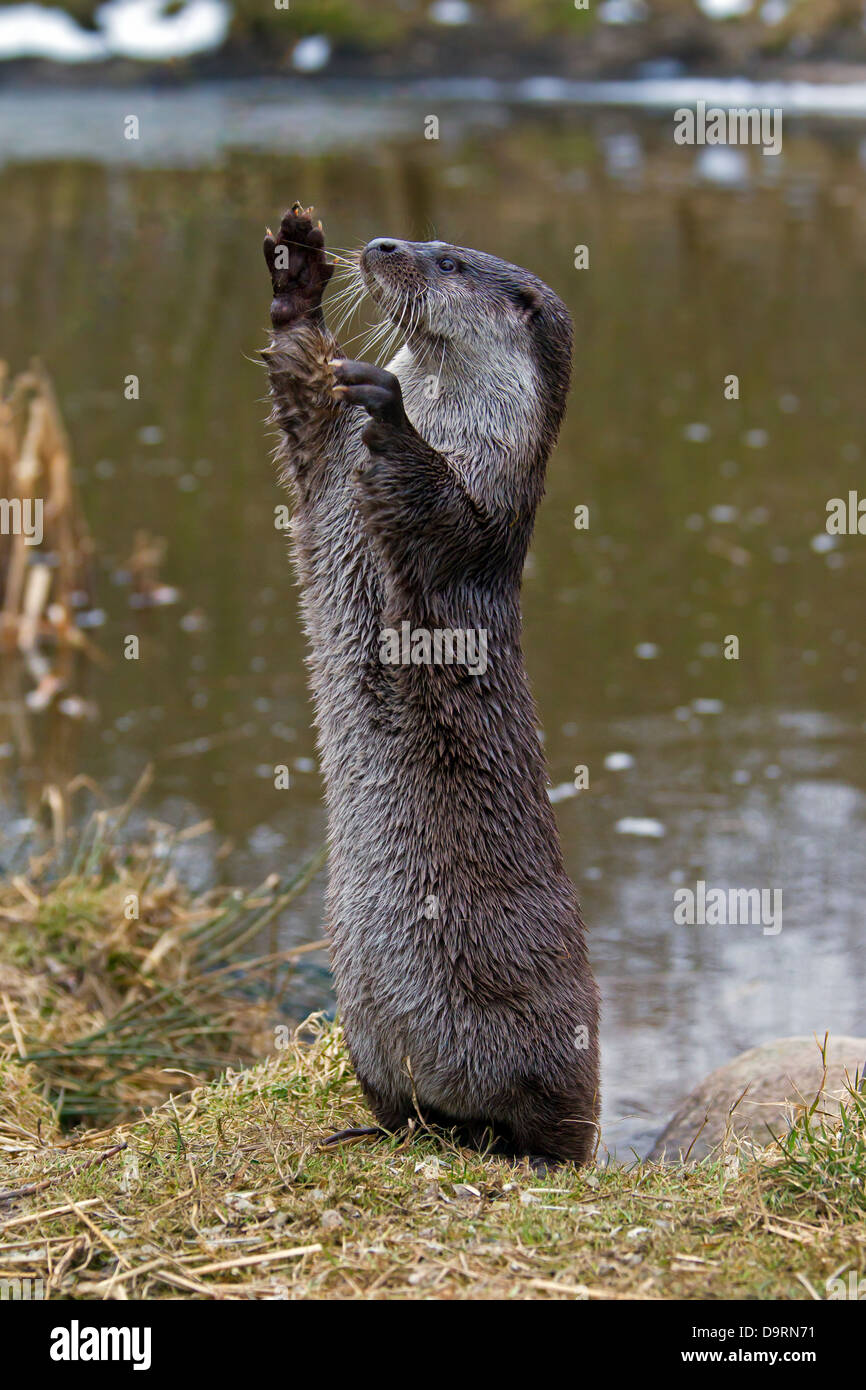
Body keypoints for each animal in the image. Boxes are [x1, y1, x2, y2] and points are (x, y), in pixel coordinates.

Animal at [262, 206, 600, 1163]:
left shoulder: (480, 519)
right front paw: (296, 274)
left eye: (446, 260)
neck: (461, 420)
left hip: (551, 1035)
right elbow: (303, 396)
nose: (381, 247)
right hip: (366, 1030)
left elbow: (441, 513)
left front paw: (392, 411)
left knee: (564, 1126)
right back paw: (380, 1125)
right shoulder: (323, 462)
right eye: (416, 238)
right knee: (405, 1105)